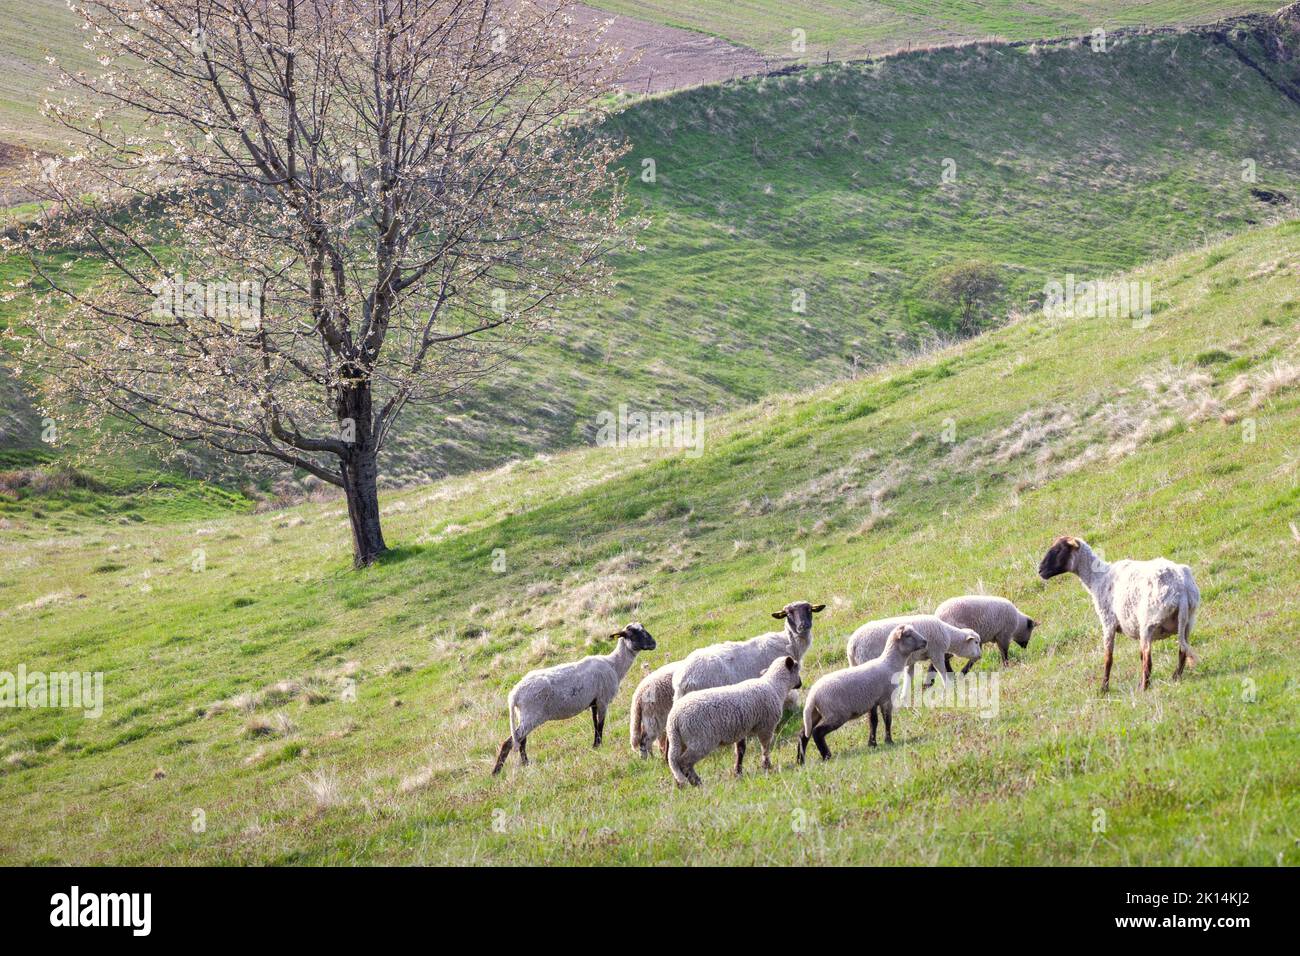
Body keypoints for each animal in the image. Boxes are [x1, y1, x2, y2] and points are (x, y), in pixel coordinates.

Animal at [491, 623, 656, 774]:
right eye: (633, 634)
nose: (654, 643)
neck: (614, 665)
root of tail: (514, 694)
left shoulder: (593, 702)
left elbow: (595, 723)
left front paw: (595, 745)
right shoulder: (603, 700)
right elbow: (601, 724)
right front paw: (599, 745)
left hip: (523, 715)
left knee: (521, 740)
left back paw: (525, 764)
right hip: (532, 715)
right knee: (511, 741)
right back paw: (496, 772)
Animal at [666, 655, 802, 787]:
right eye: (797, 668)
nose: (800, 683)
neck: (775, 686)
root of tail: (674, 719)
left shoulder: (741, 729)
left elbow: (740, 750)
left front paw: (738, 771)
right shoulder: (767, 726)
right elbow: (765, 747)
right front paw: (767, 765)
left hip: (682, 741)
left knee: (675, 761)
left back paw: (680, 784)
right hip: (700, 740)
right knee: (684, 762)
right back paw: (697, 783)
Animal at [798, 624, 927, 763]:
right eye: (908, 635)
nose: (925, 641)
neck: (890, 664)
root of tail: (812, 695)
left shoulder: (873, 701)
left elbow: (873, 721)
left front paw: (872, 743)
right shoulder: (886, 698)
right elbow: (887, 719)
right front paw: (889, 741)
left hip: (816, 712)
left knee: (803, 734)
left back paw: (801, 761)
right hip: (836, 714)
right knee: (817, 732)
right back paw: (826, 755)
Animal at [845, 613, 982, 699]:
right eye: (976, 642)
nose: (980, 656)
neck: (947, 634)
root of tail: (852, 645)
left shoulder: (911, 660)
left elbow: (909, 676)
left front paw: (904, 697)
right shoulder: (936, 653)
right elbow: (941, 671)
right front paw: (948, 688)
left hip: (855, 665)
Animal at [1038, 535, 1199, 692]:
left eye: (1059, 550)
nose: (1040, 570)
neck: (1097, 579)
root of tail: (1181, 590)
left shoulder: (1108, 622)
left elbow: (1108, 658)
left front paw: (1103, 688)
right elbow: (1137, 656)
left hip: (1148, 622)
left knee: (1149, 661)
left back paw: (1143, 688)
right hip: (1187, 623)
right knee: (1181, 652)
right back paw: (1174, 678)